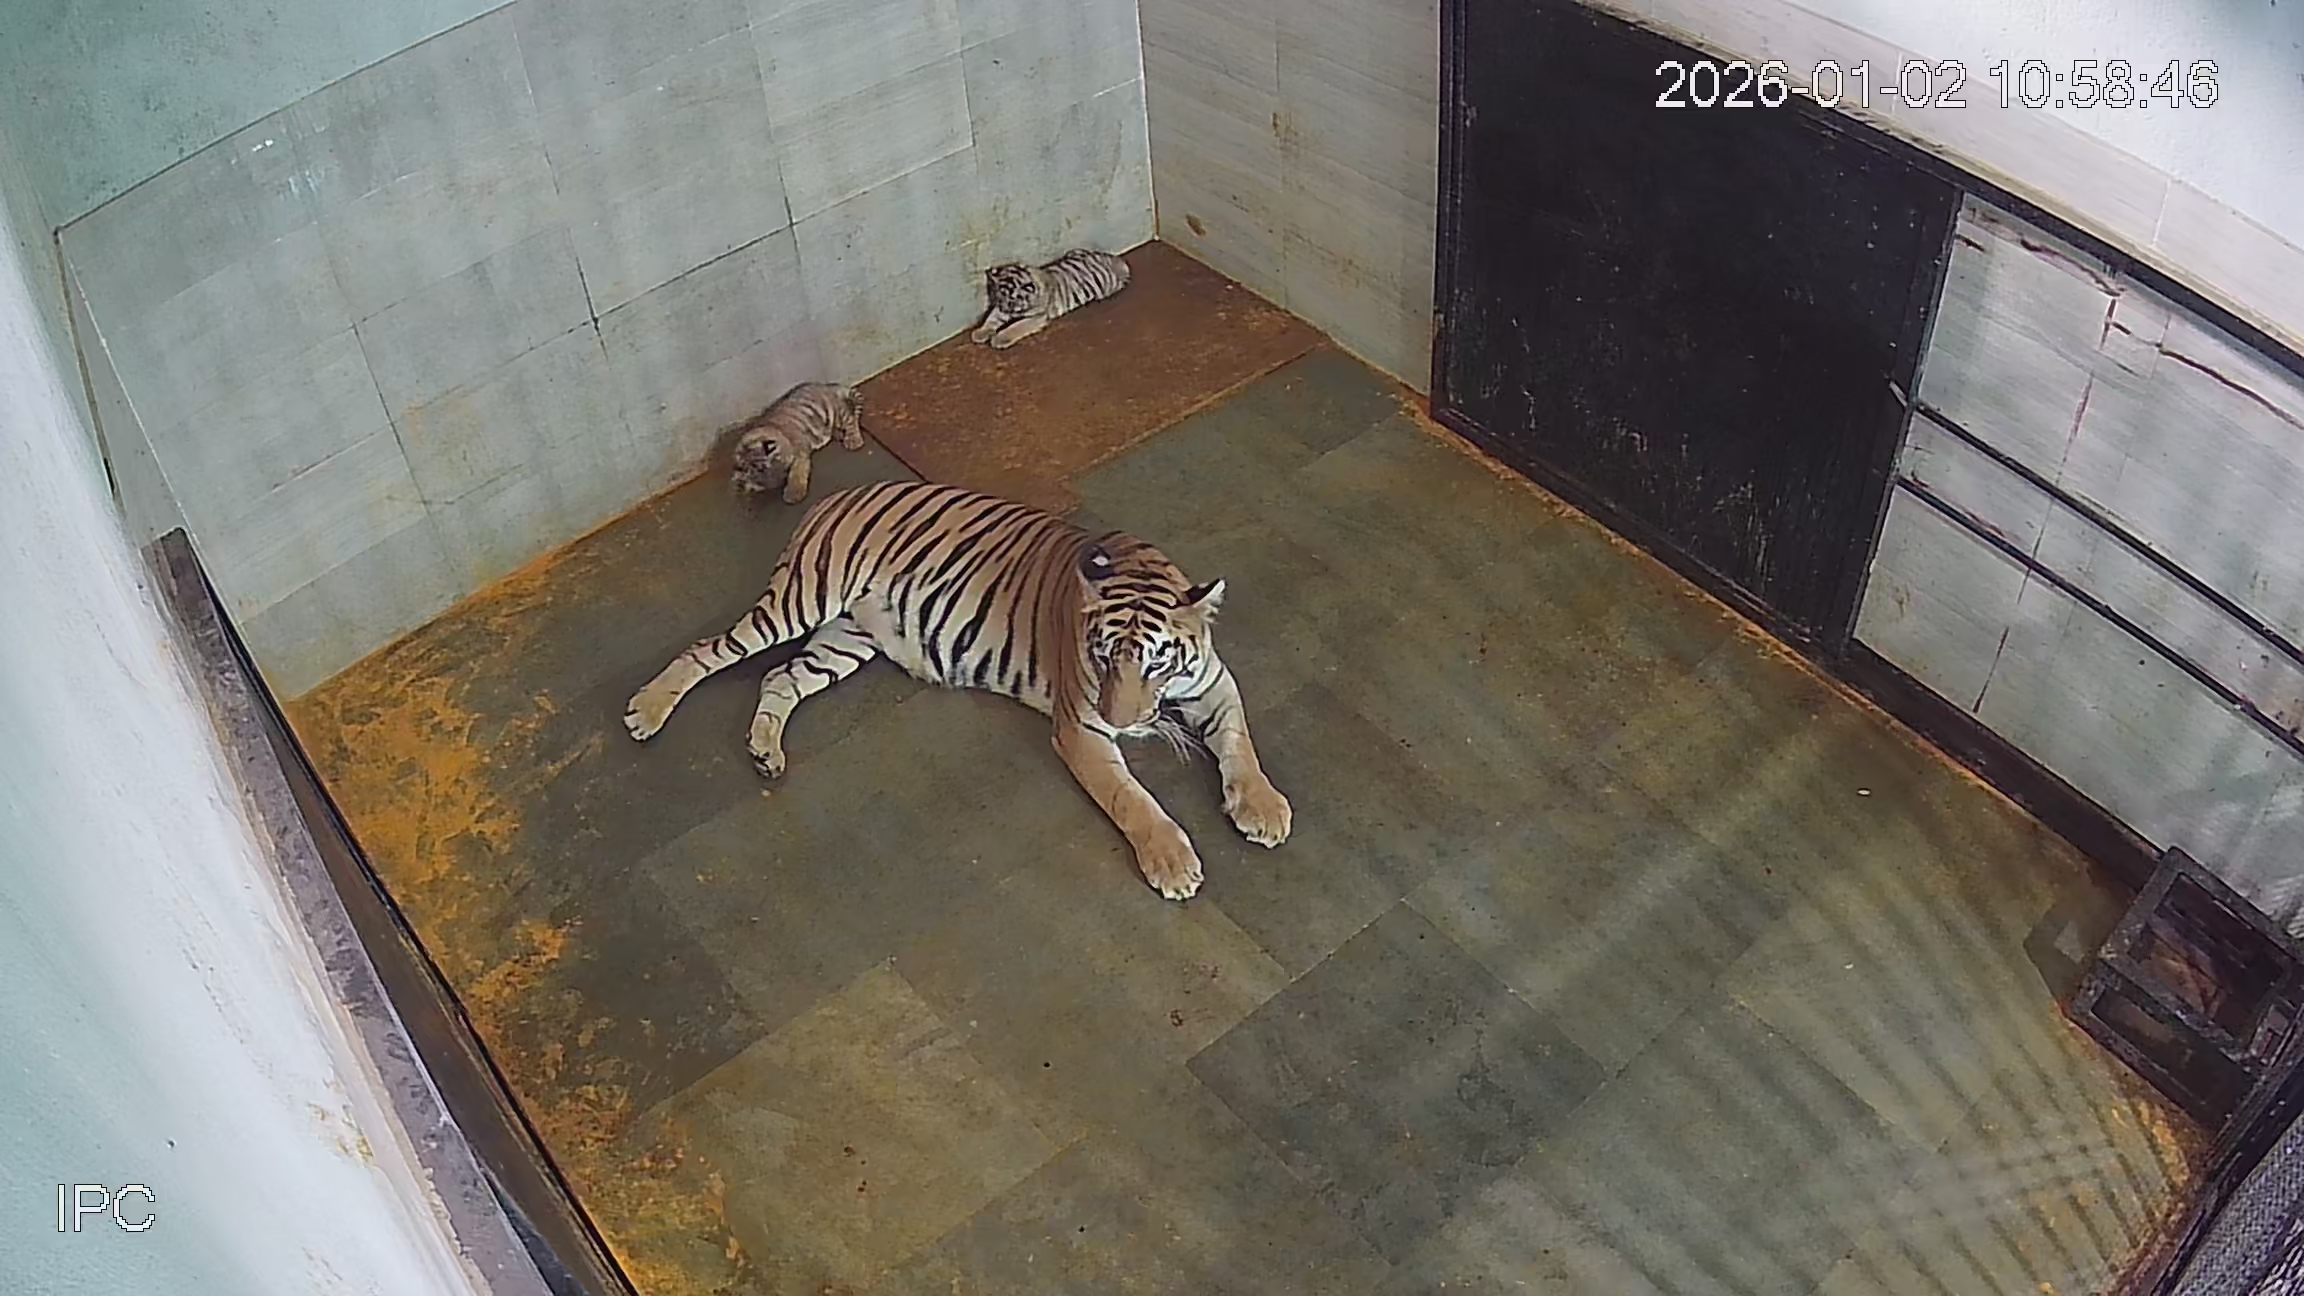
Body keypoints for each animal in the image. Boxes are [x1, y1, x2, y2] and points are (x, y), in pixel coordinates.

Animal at [621, 480, 1291, 900]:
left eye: (1156, 664)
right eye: (1103, 660)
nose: (1125, 722)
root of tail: (841, 494)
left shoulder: (1216, 682)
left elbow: (1240, 744)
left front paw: (1262, 808)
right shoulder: (1081, 728)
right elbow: (1132, 799)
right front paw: (1173, 862)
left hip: (846, 642)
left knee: (779, 676)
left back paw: (766, 753)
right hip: (800, 601)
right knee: (708, 651)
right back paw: (646, 712)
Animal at [727, 381, 866, 505]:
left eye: (764, 468)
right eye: (758, 478)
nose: (777, 484)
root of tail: (825, 385)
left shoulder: (800, 453)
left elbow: (796, 472)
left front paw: (793, 494)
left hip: (837, 412)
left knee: (851, 419)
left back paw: (853, 440)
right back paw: (838, 434)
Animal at [968, 248, 1132, 350]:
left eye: (1013, 298)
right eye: (1000, 294)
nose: (1004, 307)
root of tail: (1114, 259)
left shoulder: (1036, 317)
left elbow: (1016, 326)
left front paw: (999, 339)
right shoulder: (999, 309)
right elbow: (991, 318)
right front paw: (980, 333)